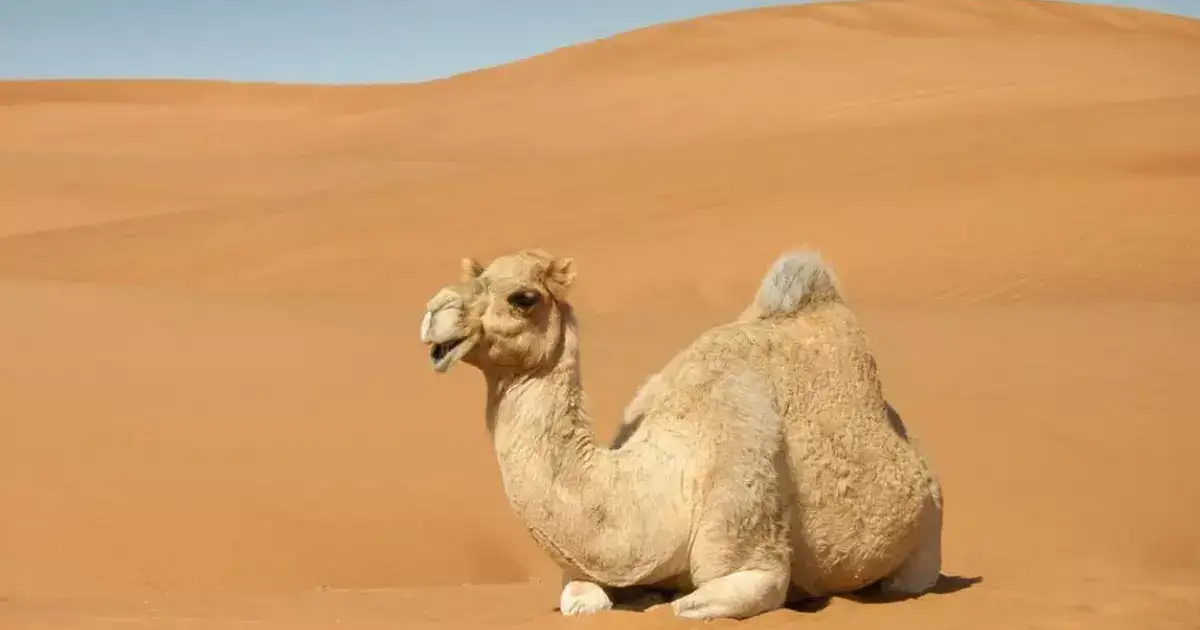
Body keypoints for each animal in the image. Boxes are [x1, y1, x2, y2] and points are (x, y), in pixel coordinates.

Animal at [418, 248, 943, 620]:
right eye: (476, 275)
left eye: (524, 298)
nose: (434, 311)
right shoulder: (587, 564)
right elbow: (581, 598)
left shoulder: (750, 559)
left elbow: (692, 604)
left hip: (928, 535)